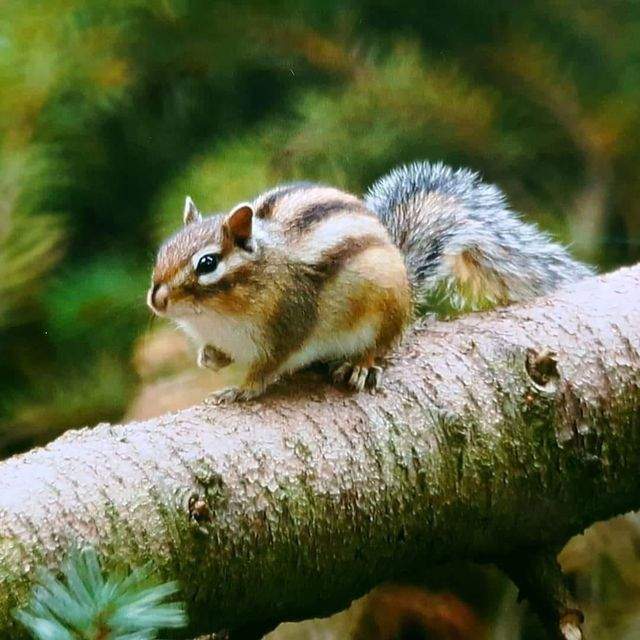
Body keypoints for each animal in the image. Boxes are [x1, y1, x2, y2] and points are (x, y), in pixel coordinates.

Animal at [148, 161, 593, 402]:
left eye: (207, 263)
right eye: (163, 250)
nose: (156, 300)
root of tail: (408, 286)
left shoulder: (288, 326)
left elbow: (268, 366)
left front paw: (241, 389)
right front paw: (210, 359)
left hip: (382, 310)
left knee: (383, 343)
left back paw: (361, 365)